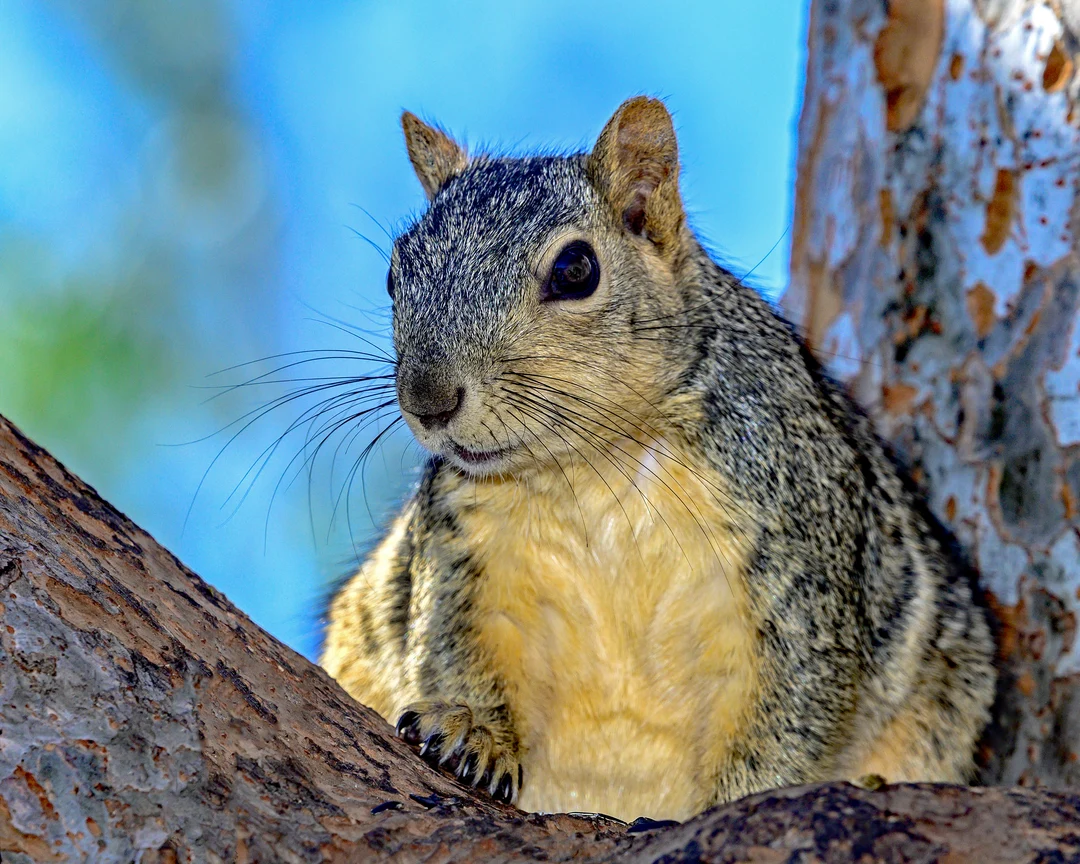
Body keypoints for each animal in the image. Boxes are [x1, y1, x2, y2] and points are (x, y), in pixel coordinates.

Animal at [320, 97, 996, 822]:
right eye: (395, 273)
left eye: (576, 270)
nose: (428, 399)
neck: (594, 467)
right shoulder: (465, 556)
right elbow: (449, 639)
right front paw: (471, 729)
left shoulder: (798, 565)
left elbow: (796, 705)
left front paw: (749, 795)